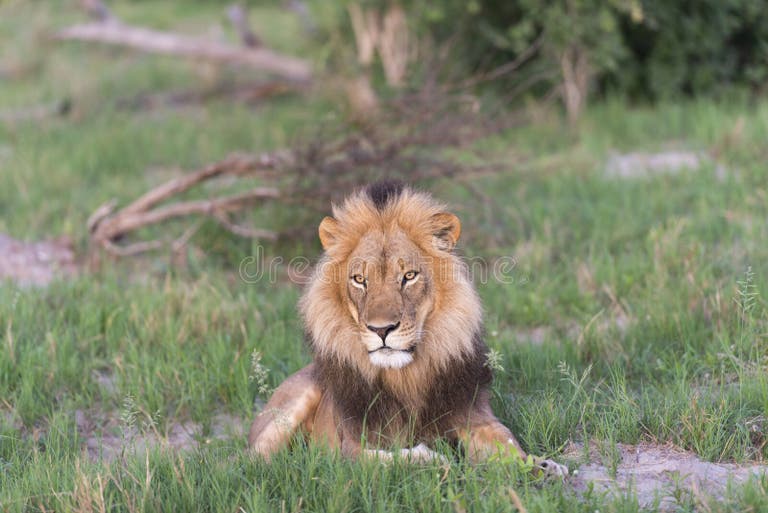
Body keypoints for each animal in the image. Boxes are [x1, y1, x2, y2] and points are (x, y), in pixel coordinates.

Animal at [248, 181, 568, 477]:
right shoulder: (348, 448)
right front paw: (434, 459)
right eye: (359, 279)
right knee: (253, 462)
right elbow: (387, 459)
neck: (405, 377)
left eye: (409, 276)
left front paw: (542, 466)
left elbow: (507, 442)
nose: (381, 329)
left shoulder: (473, 415)